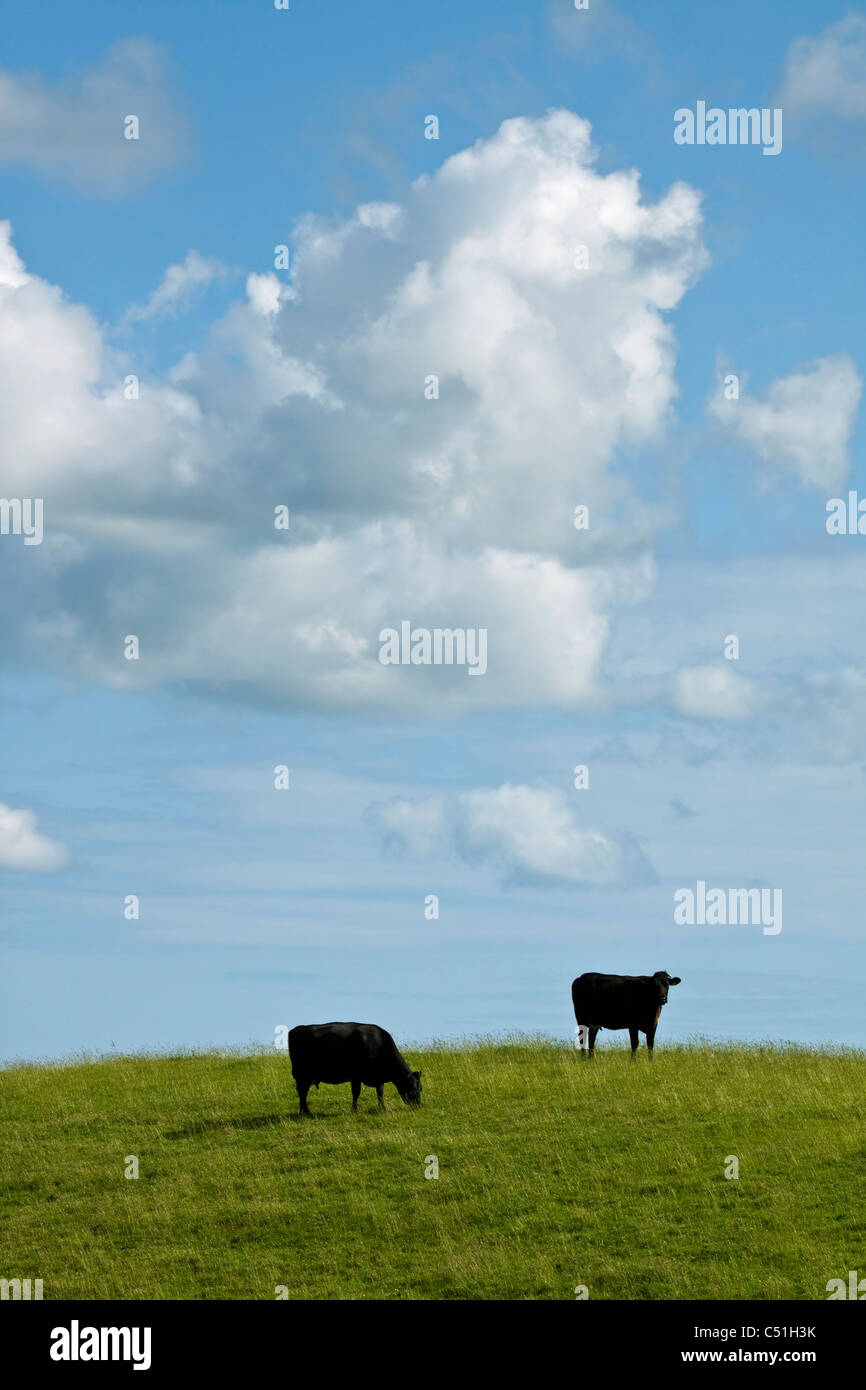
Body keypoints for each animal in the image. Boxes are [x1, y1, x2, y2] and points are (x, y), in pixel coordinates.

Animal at [287, 1023, 422, 1117]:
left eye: (420, 1088)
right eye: (412, 1088)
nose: (418, 1106)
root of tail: (295, 1030)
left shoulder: (379, 1078)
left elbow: (380, 1093)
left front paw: (382, 1108)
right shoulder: (356, 1075)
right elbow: (356, 1093)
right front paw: (354, 1110)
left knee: (303, 1092)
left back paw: (303, 1111)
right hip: (302, 1074)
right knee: (302, 1092)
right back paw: (305, 1111)